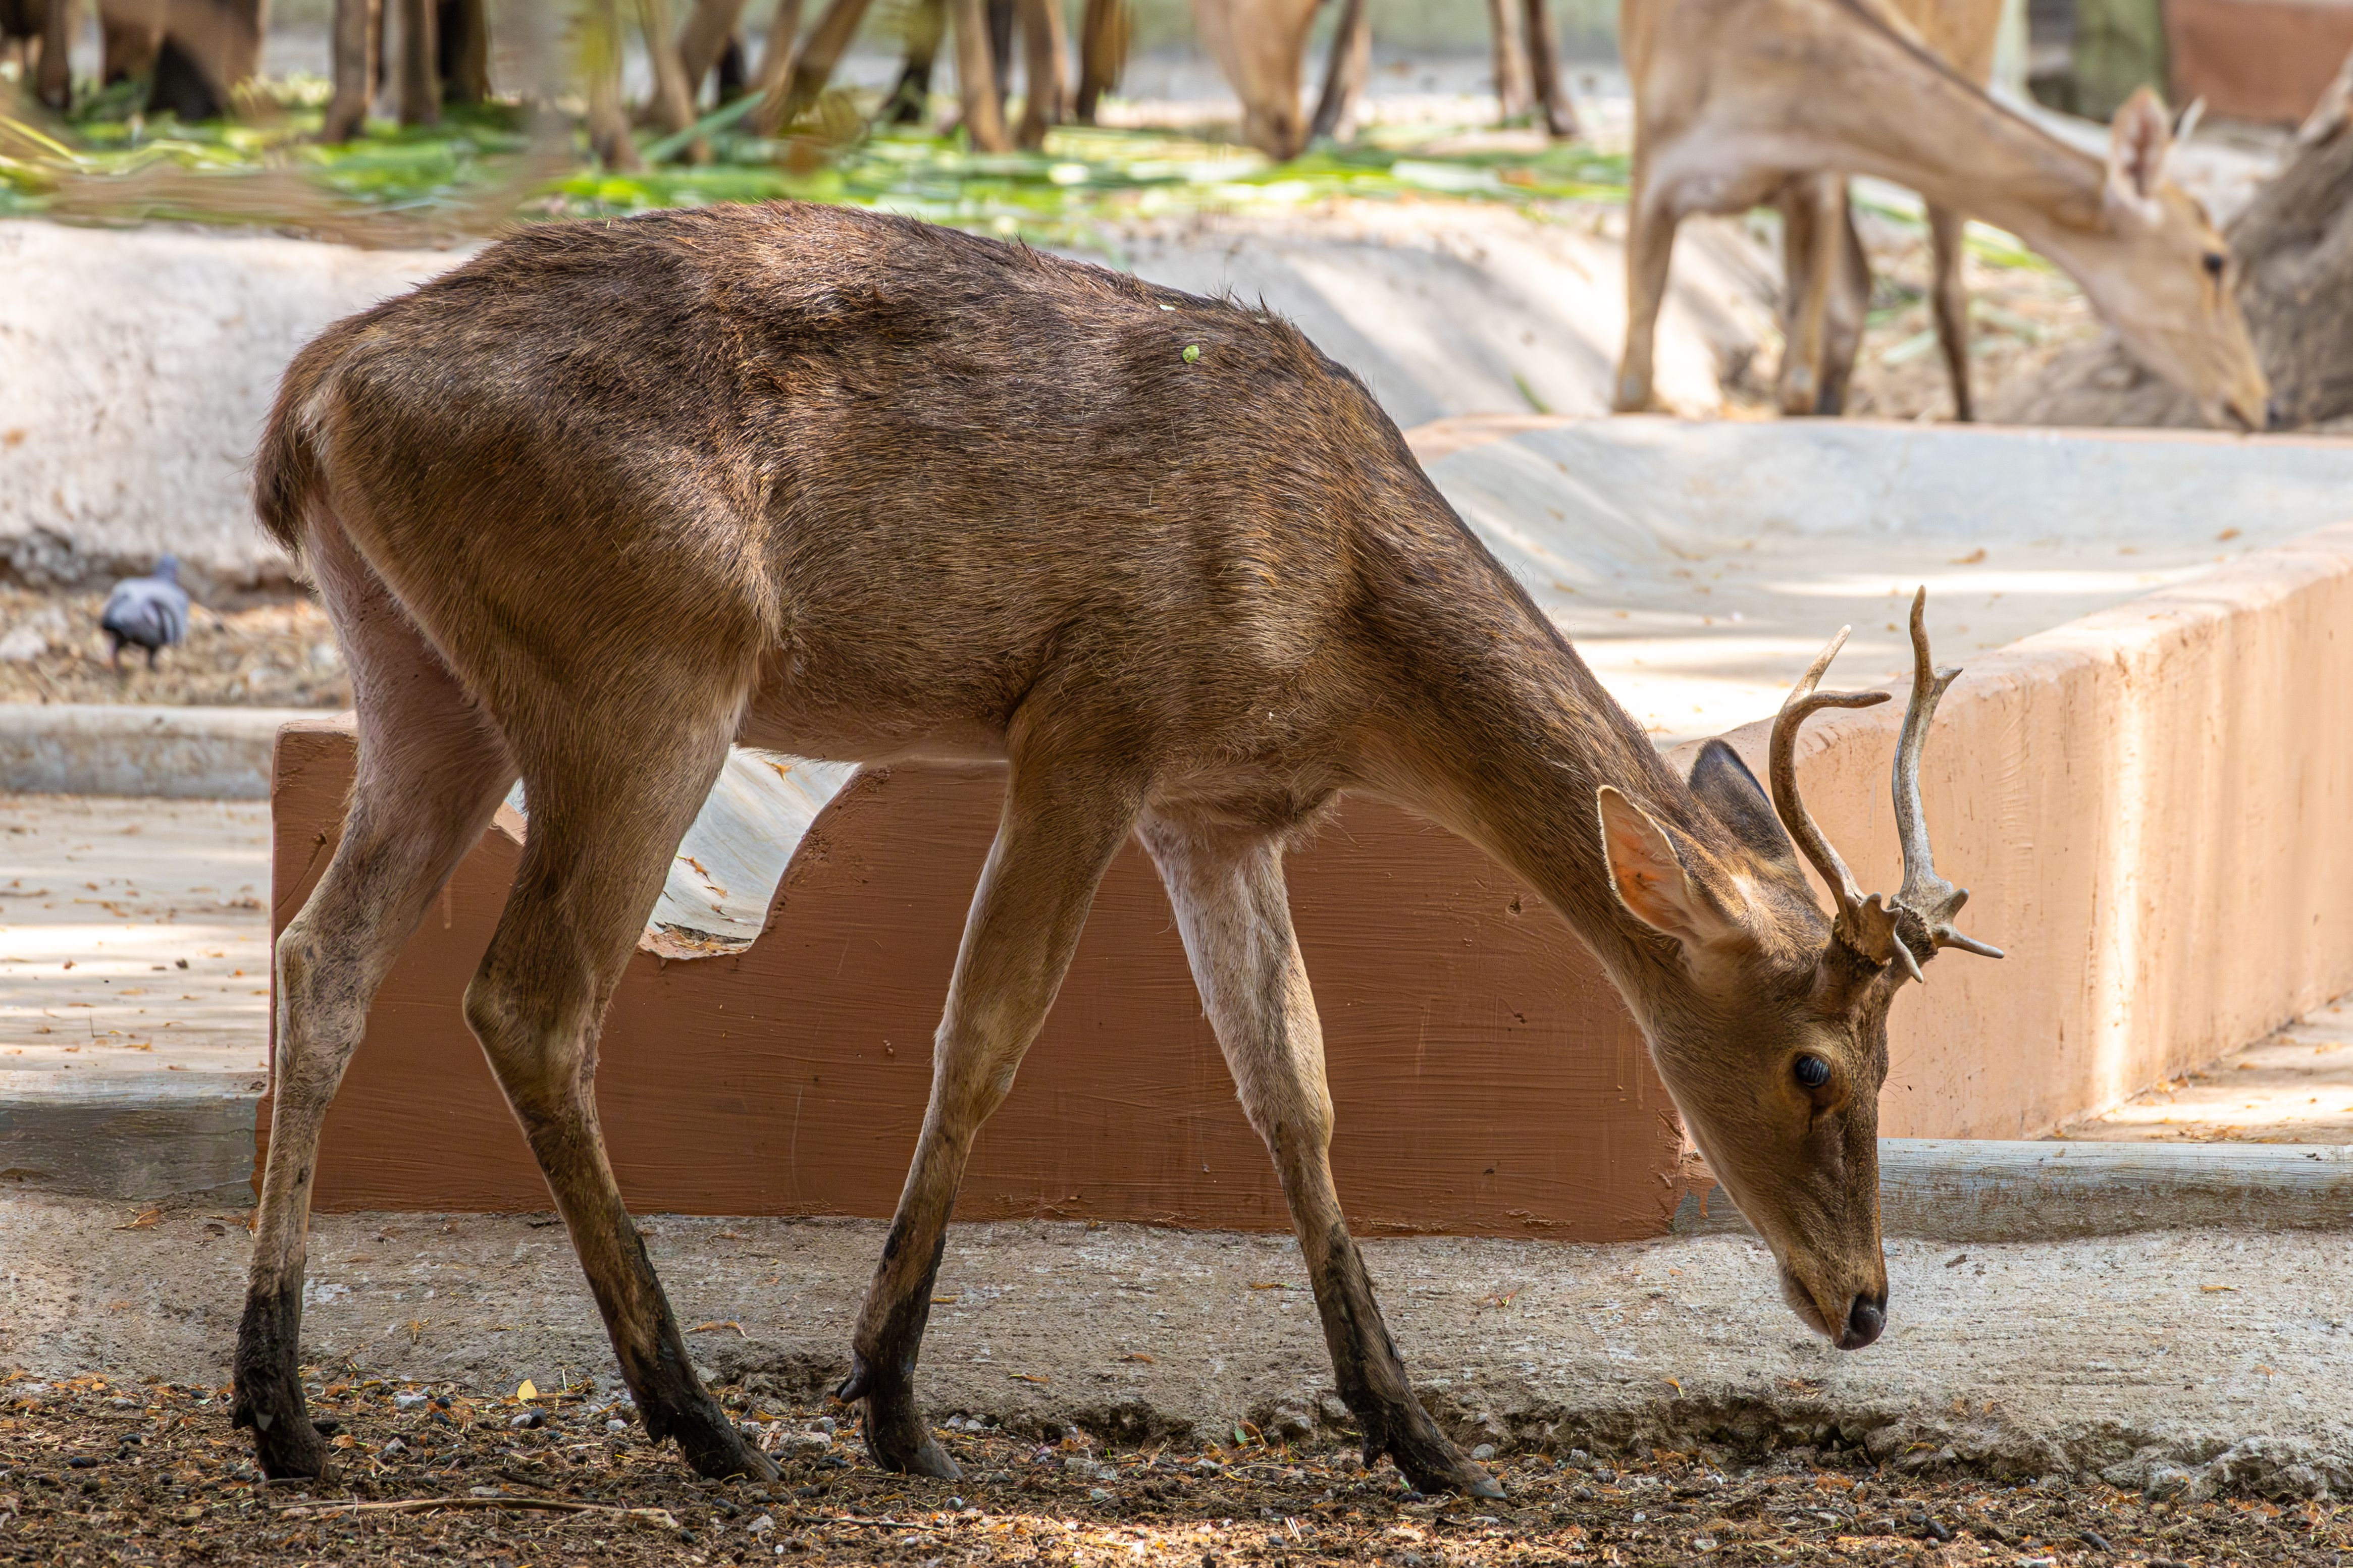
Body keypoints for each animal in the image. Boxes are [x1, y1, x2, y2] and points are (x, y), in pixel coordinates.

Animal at [238, 200, 2000, 1495]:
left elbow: (1292, 1081)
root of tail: (308, 401)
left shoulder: (1213, 809)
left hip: (422, 675)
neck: (1337, 634)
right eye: (1815, 1066)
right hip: (652, 663)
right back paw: (697, 1414)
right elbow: (984, 1032)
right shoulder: (1092, 721)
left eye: (1898, 1059)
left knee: (323, 951)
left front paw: (1417, 1432)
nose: (1861, 1303)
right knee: (530, 997)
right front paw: (889, 1401)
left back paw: (283, 1408)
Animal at [1614, 0, 2277, 430]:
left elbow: (1797, 380)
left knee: (1939, 294)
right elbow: (1629, 386)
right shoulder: (1652, 177)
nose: (2263, 402)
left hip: (1969, 60)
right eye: (2214, 260)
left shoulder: (1817, 183)